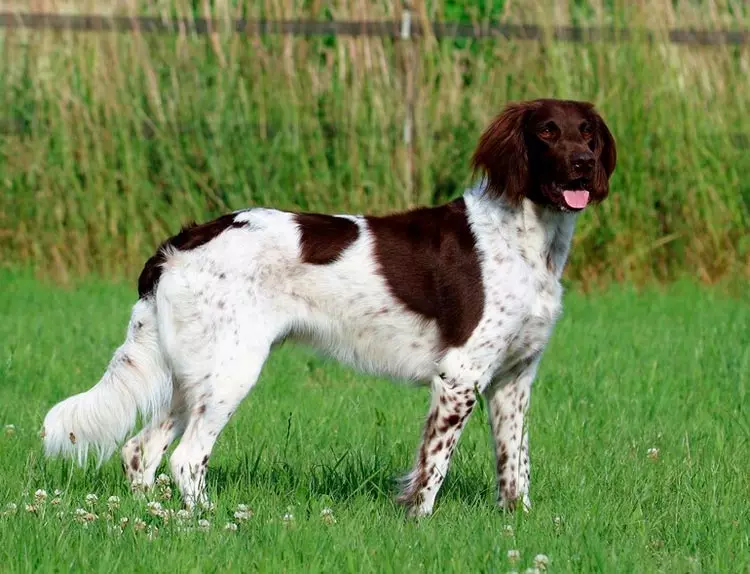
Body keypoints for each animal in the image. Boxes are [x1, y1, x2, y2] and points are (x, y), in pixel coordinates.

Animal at [39, 98, 616, 516]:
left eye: (587, 132)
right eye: (547, 132)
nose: (582, 164)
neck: (526, 238)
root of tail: (181, 241)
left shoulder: (514, 378)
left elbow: (515, 467)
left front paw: (519, 524)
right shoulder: (460, 374)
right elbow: (432, 469)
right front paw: (417, 523)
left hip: (194, 376)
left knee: (141, 452)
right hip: (230, 370)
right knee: (185, 459)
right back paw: (215, 523)